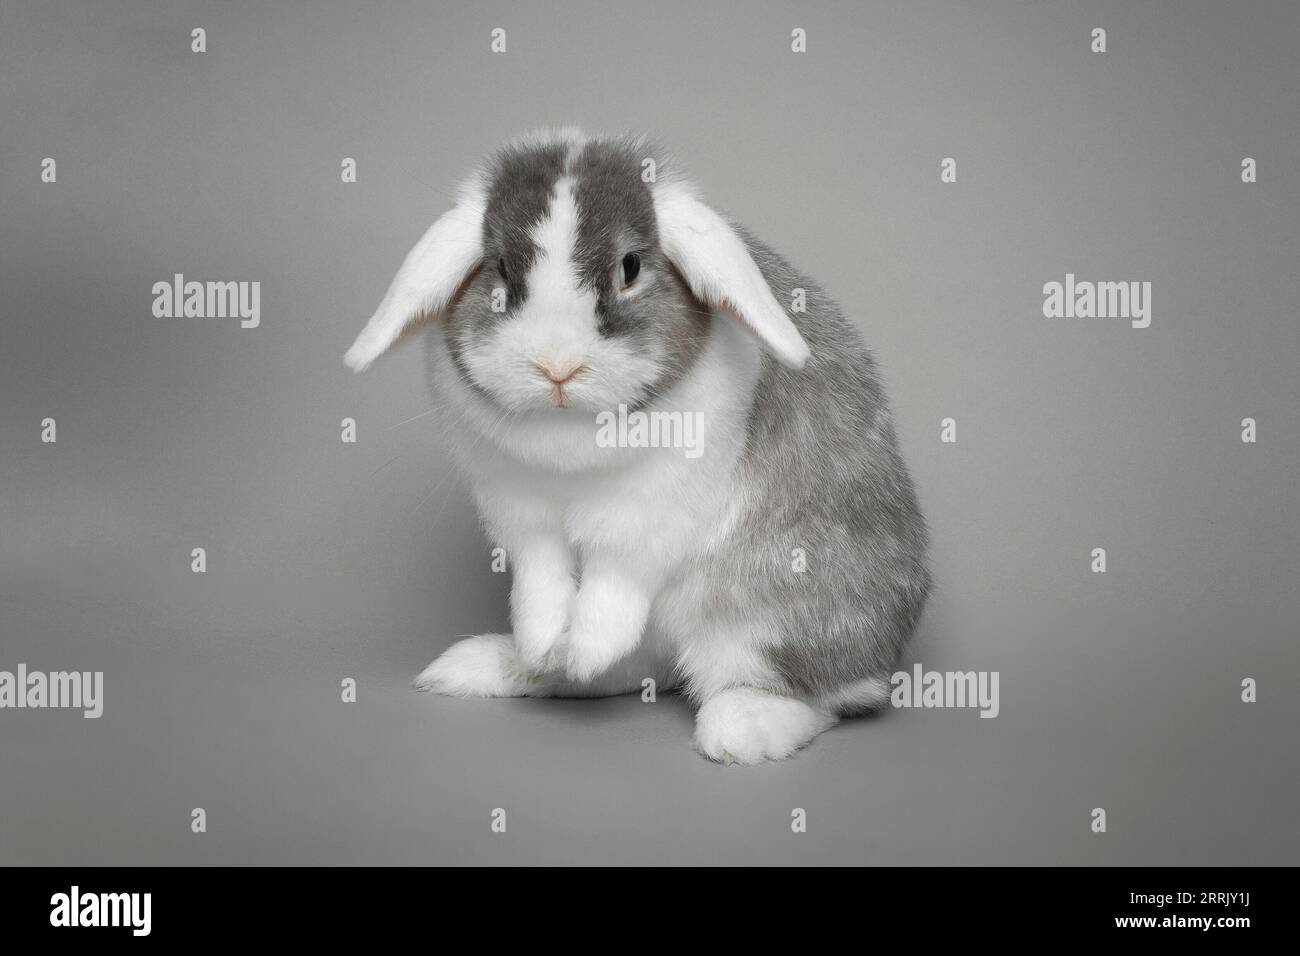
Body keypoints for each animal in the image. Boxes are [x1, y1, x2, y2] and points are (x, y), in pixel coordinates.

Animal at [345, 129, 930, 764]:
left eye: (630, 266)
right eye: (499, 267)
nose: (557, 367)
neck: (572, 437)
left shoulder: (649, 511)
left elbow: (614, 579)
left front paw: (585, 647)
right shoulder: (522, 516)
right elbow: (541, 583)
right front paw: (545, 645)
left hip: (769, 615)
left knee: (819, 694)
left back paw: (740, 725)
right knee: (634, 670)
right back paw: (512, 666)